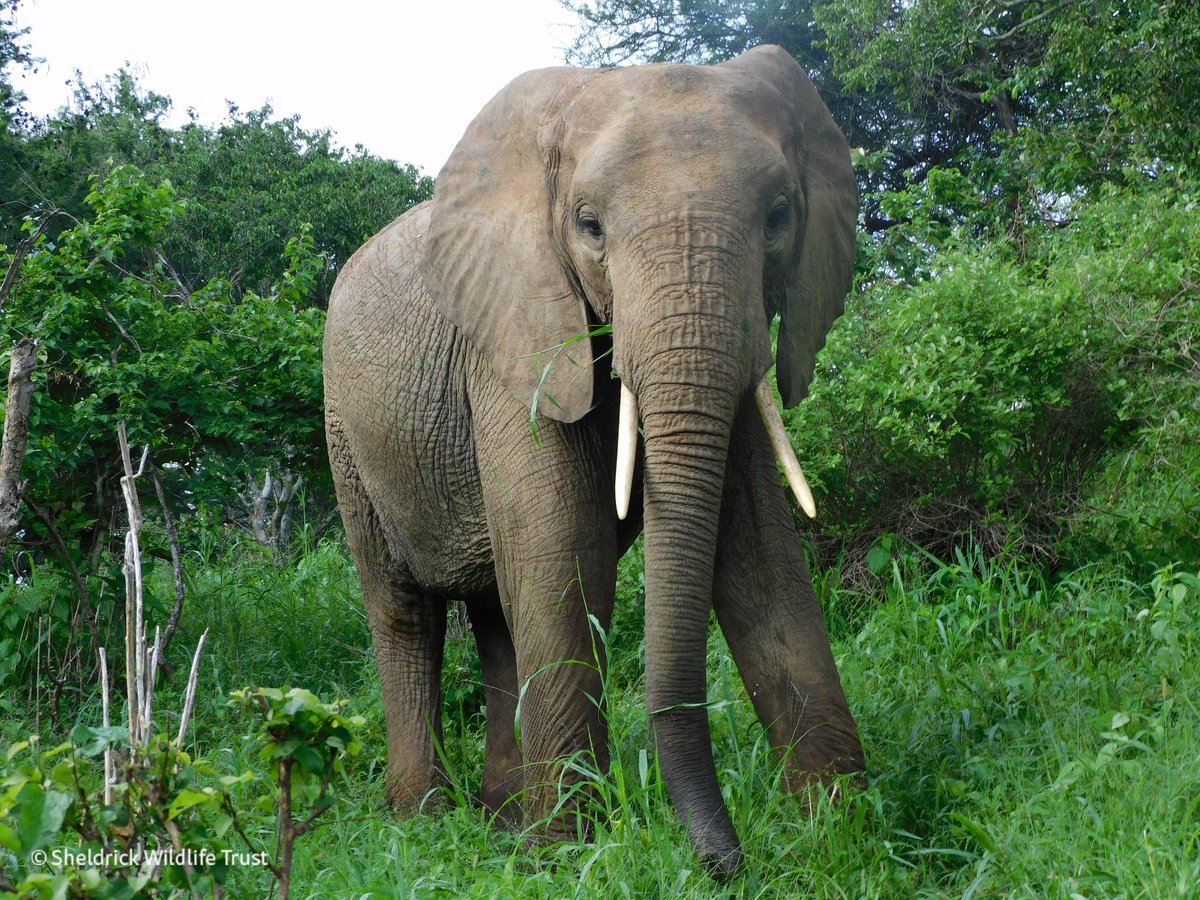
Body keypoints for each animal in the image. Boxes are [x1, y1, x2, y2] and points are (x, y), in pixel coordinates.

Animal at [323, 44, 864, 877]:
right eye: (589, 227)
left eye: (779, 217)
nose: (726, 861)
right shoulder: (512, 336)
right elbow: (563, 549)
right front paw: (572, 856)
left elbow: (758, 555)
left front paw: (845, 828)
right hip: (347, 432)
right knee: (403, 610)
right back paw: (426, 819)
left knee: (497, 616)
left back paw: (504, 822)